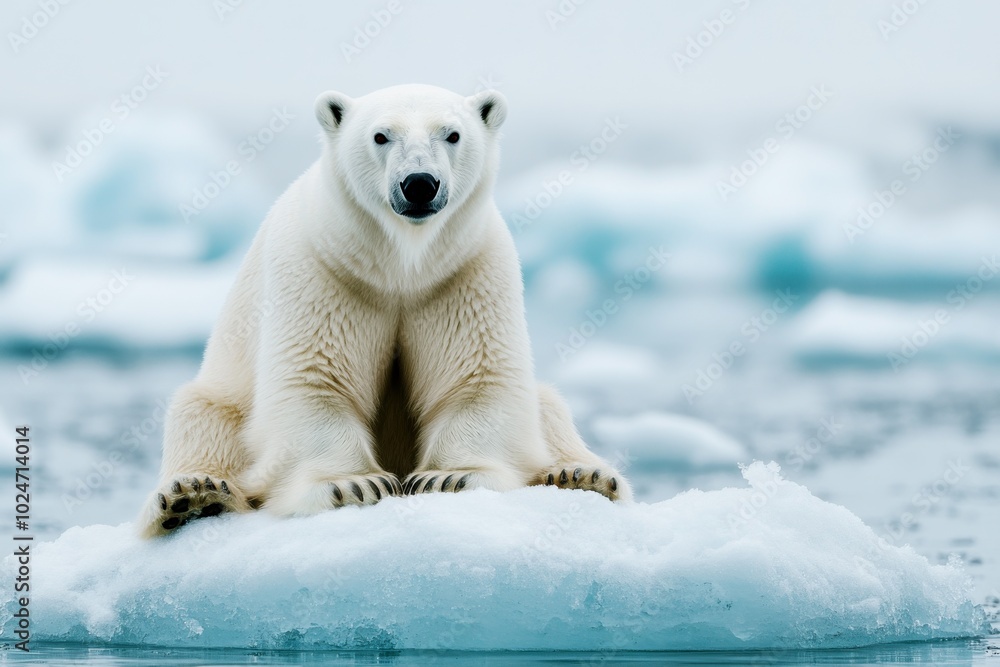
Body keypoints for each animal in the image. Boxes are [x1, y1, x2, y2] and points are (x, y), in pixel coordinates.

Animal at [138, 84, 632, 538]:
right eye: (380, 136)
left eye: (452, 134)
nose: (419, 183)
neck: (400, 267)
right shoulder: (321, 267)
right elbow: (314, 381)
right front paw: (350, 485)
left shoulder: (464, 272)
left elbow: (476, 379)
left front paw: (451, 477)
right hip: (219, 400)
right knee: (201, 417)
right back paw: (195, 496)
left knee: (550, 407)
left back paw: (580, 475)